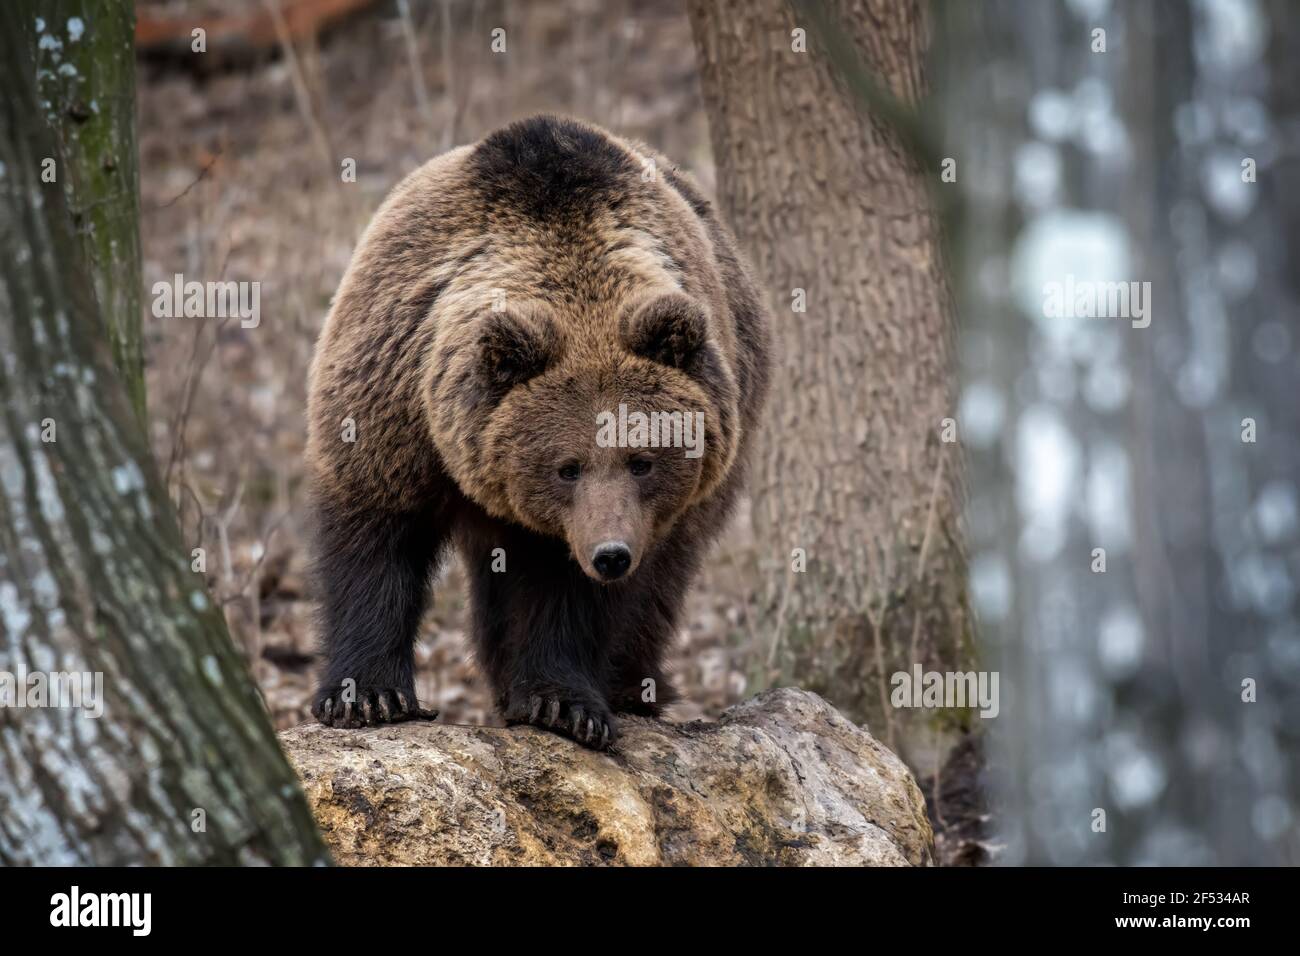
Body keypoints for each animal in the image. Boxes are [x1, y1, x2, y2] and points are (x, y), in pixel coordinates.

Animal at [306, 115, 771, 749]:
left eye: (642, 458)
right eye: (567, 466)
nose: (611, 555)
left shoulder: (594, 522)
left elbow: (564, 593)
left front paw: (563, 705)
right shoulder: (391, 396)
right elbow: (373, 543)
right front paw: (368, 695)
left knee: (663, 579)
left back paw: (630, 686)